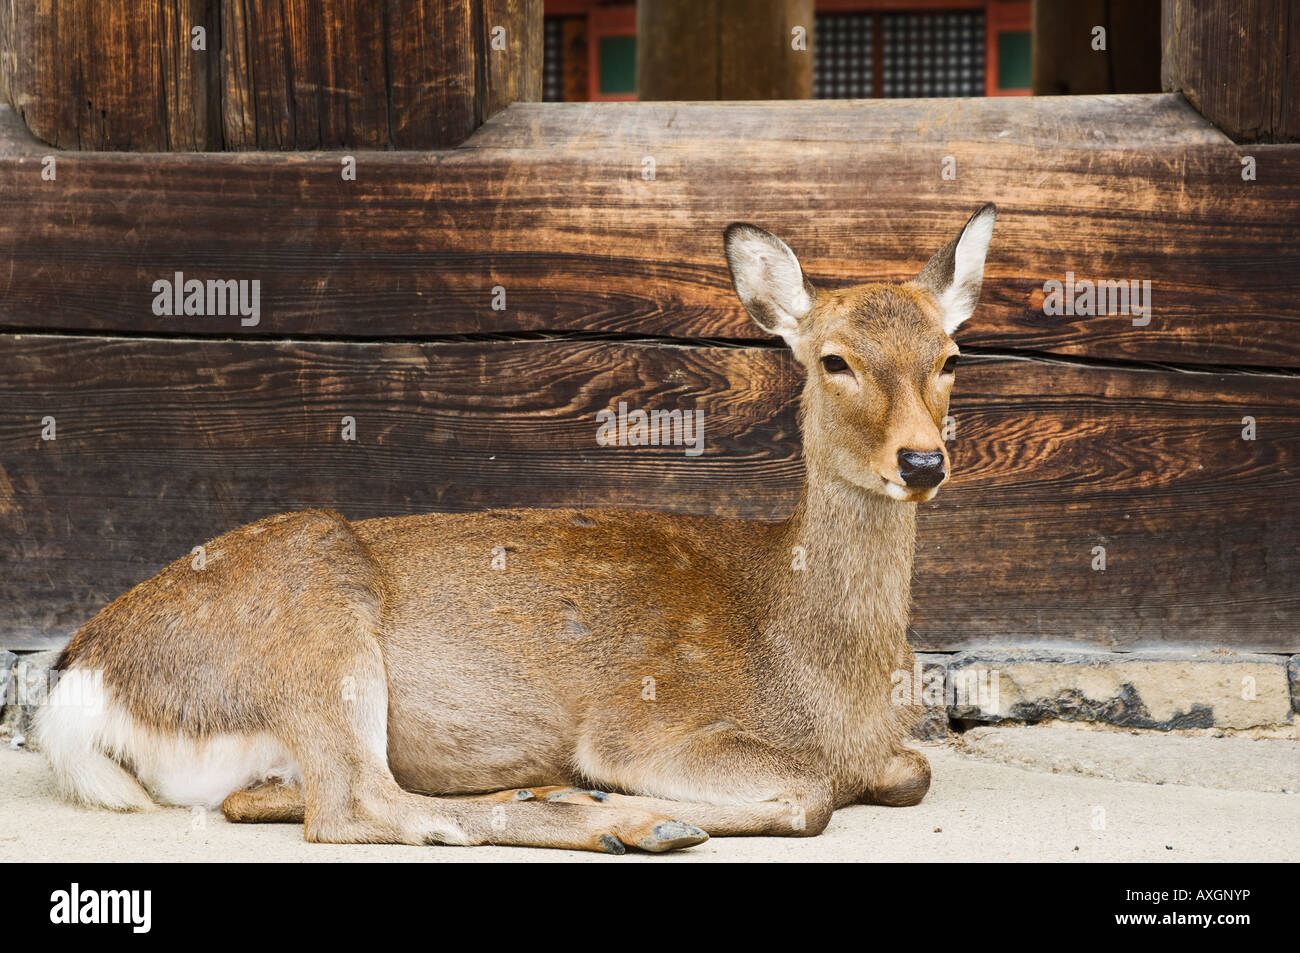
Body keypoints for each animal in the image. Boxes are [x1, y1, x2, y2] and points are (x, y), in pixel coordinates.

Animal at [36, 203, 996, 854]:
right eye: (834, 360)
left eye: (951, 355)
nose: (922, 461)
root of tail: (80, 684)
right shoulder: (643, 719)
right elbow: (810, 794)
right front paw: (623, 800)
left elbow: (913, 770)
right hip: (313, 624)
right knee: (353, 804)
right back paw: (622, 819)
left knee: (277, 797)